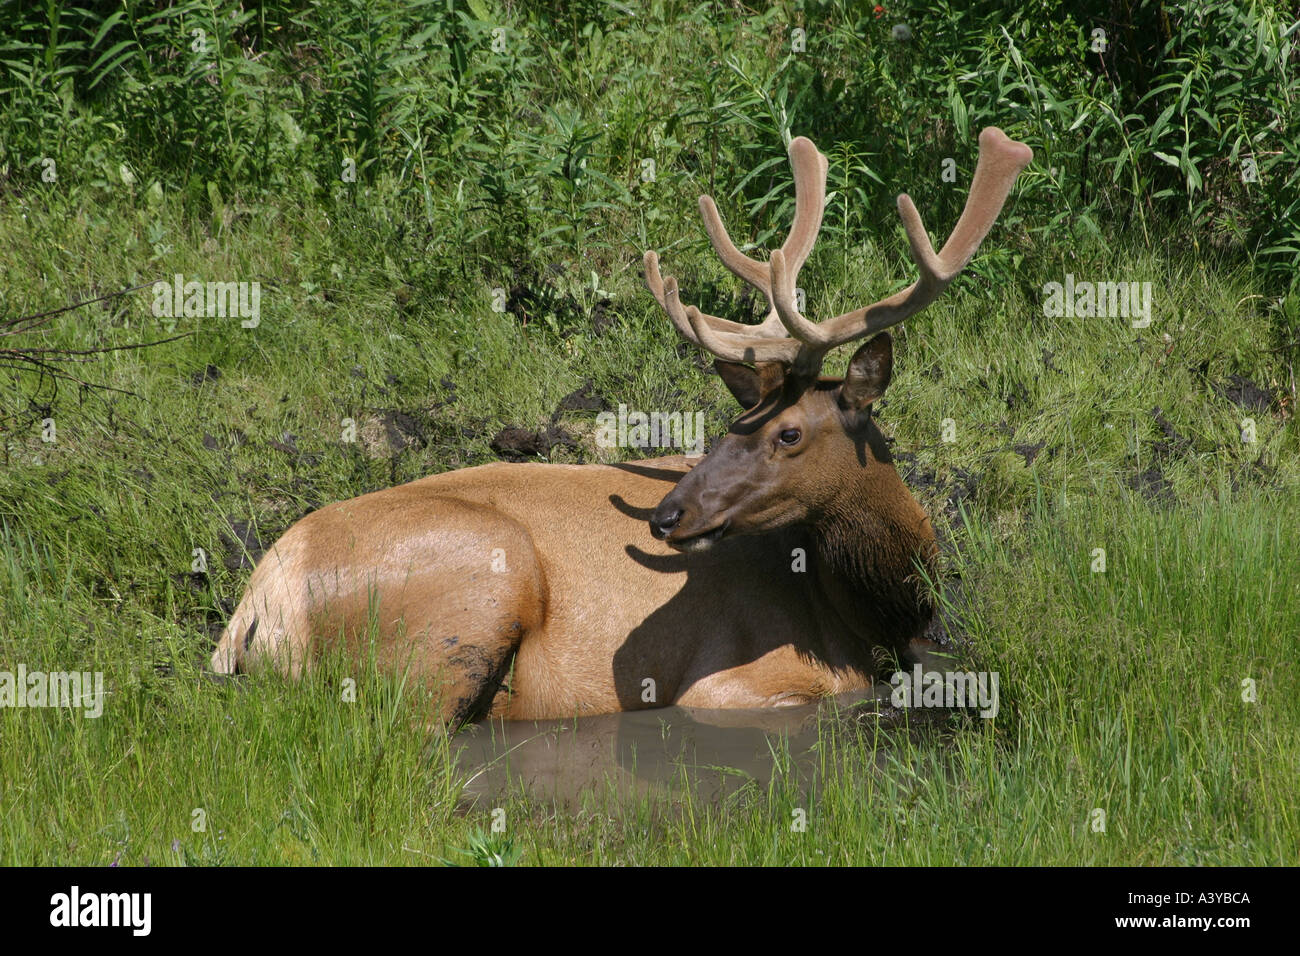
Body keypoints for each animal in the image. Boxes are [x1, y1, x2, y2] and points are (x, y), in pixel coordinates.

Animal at [210, 127, 1032, 725]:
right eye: (736, 421)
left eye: (787, 432)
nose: (668, 515)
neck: (873, 616)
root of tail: (255, 613)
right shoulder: (731, 685)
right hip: (468, 596)